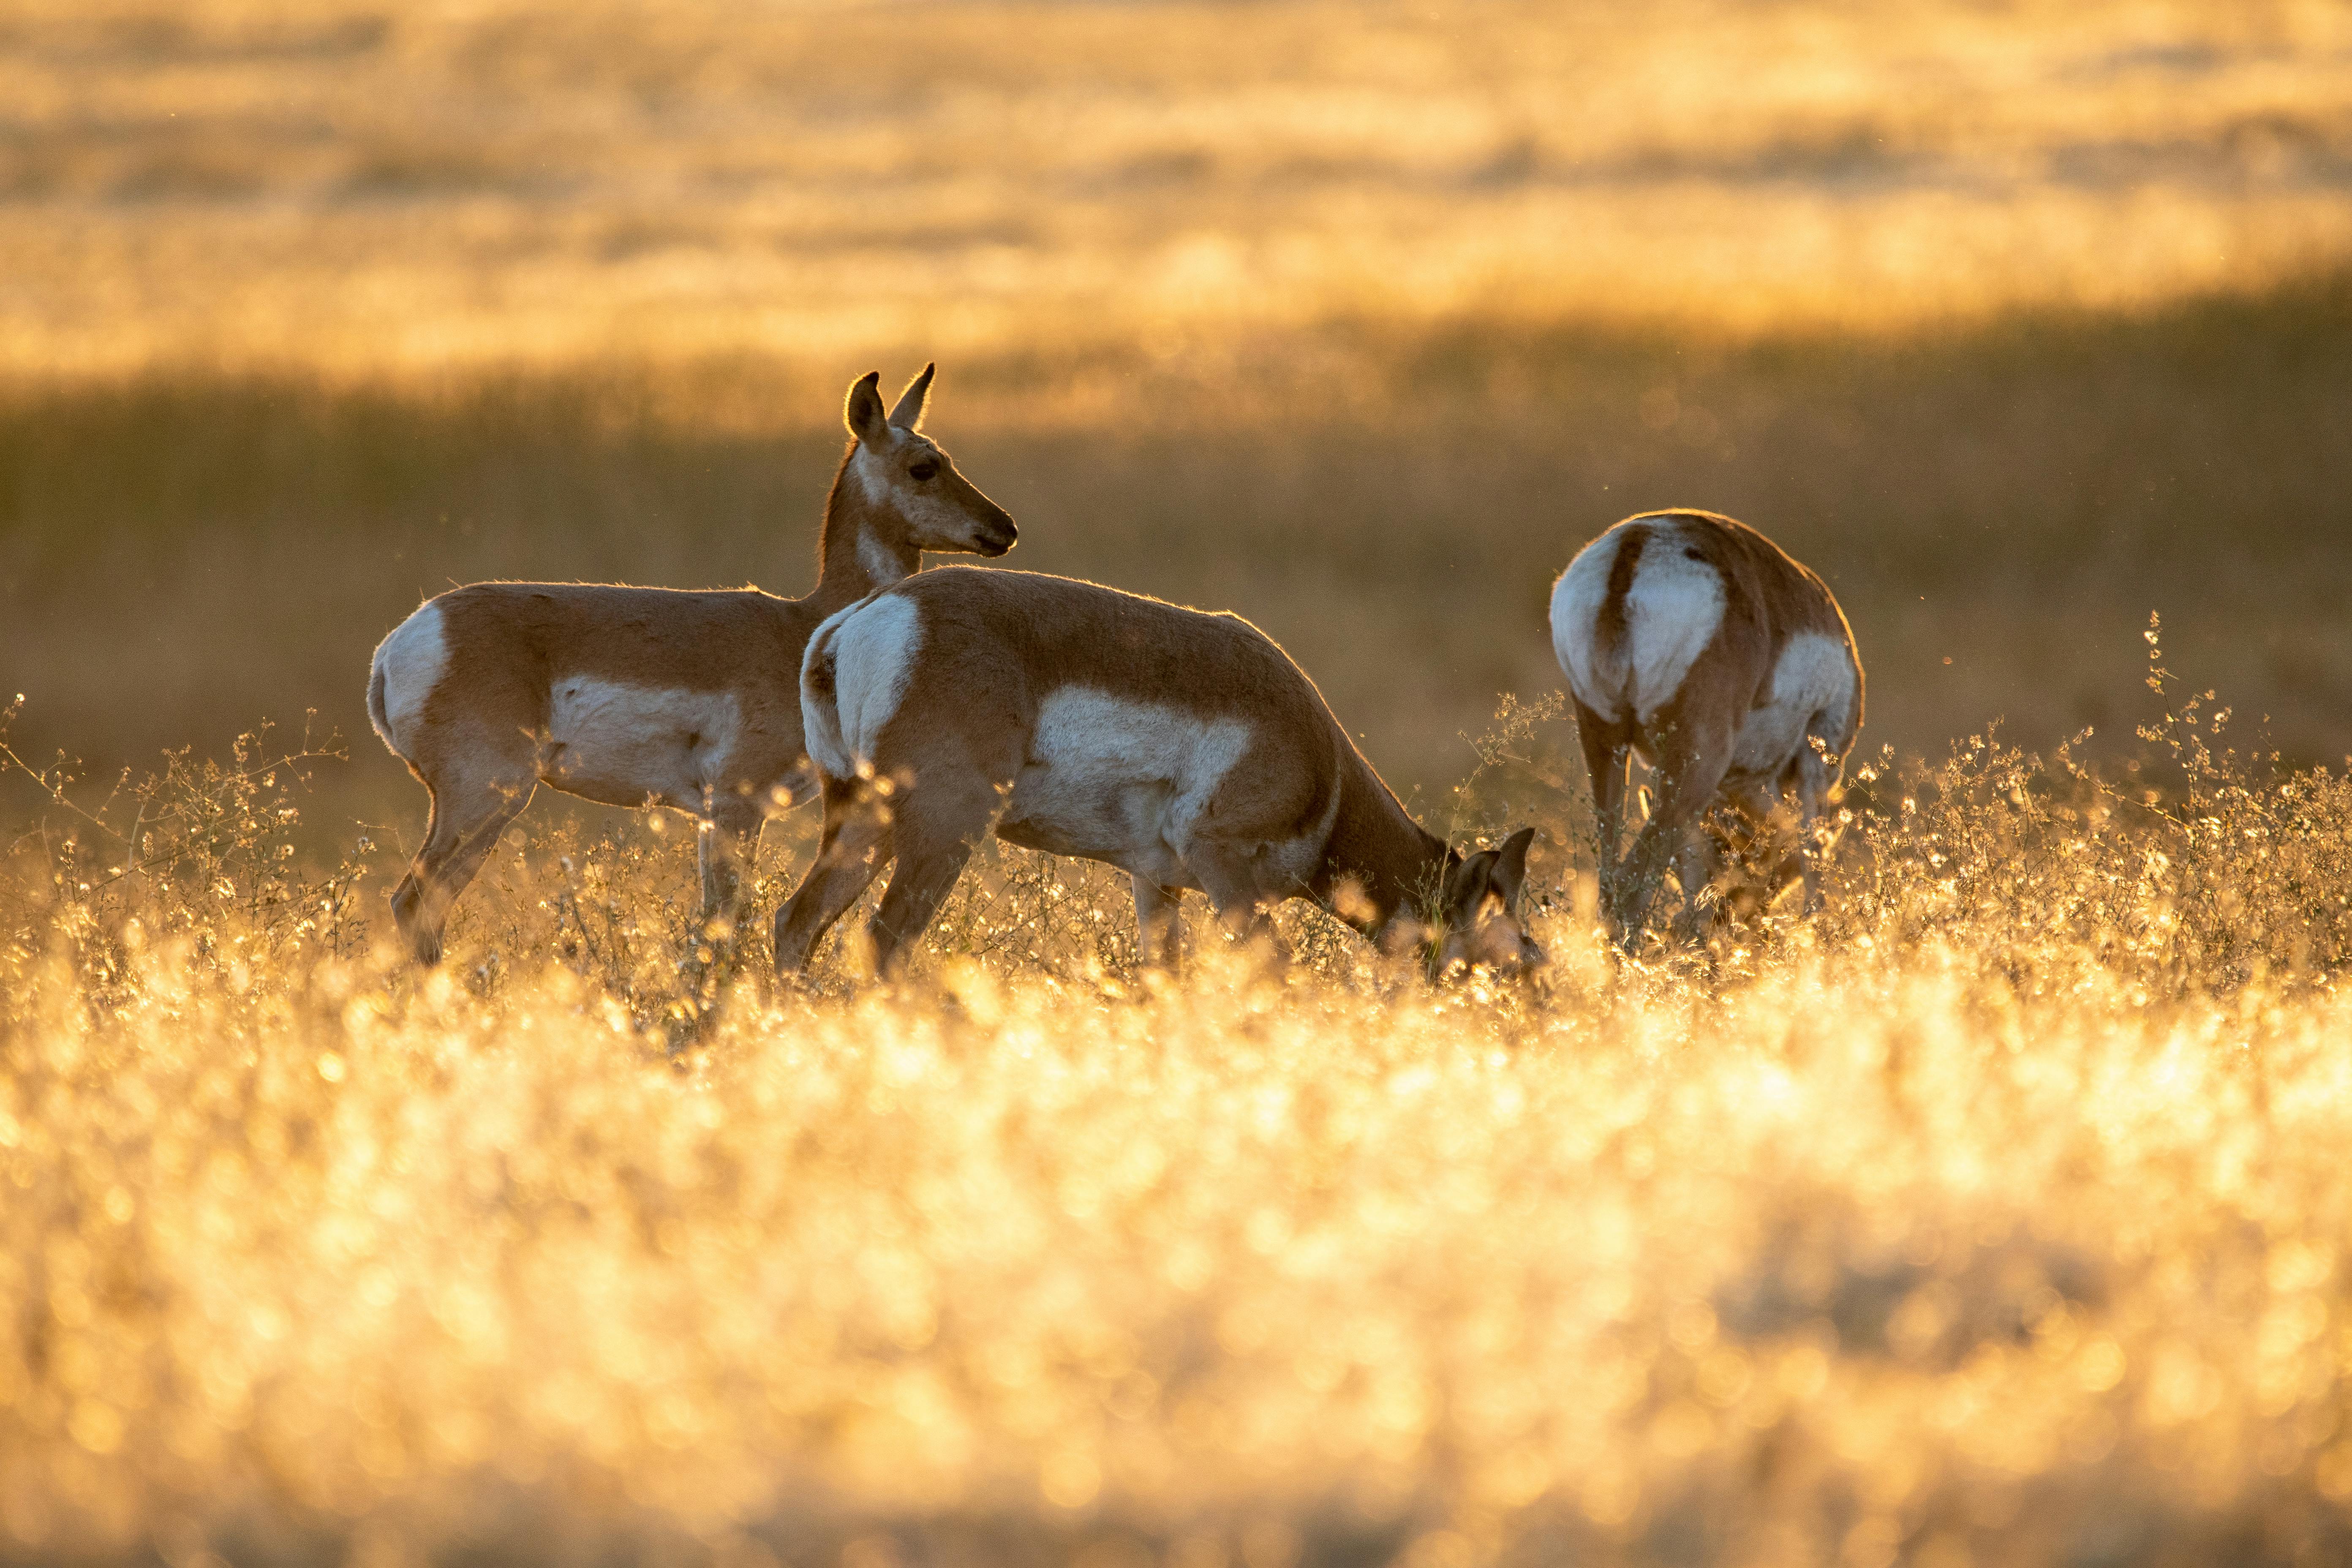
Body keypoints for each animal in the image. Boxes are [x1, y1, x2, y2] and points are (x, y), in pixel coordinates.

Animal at [366, 365, 1016, 966]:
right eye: (924, 466)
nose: (1005, 528)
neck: (801, 624)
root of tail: (402, 640)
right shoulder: (735, 807)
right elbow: (723, 924)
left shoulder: (717, 817)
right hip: (488, 800)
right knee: (413, 902)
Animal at [770, 567, 1546, 981]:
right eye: (1514, 960)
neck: (1323, 769)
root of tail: (864, 619)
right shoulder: (1219, 860)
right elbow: (1273, 965)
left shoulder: (1155, 881)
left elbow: (1160, 977)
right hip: (942, 833)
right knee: (883, 940)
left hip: (864, 824)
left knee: (797, 920)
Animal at [1549, 509, 1862, 948]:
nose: (1733, 922)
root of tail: (1635, 547)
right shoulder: (1813, 768)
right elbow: (1806, 853)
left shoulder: (1732, 786)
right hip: (1695, 769)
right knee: (1631, 884)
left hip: (1607, 745)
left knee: (1612, 878)